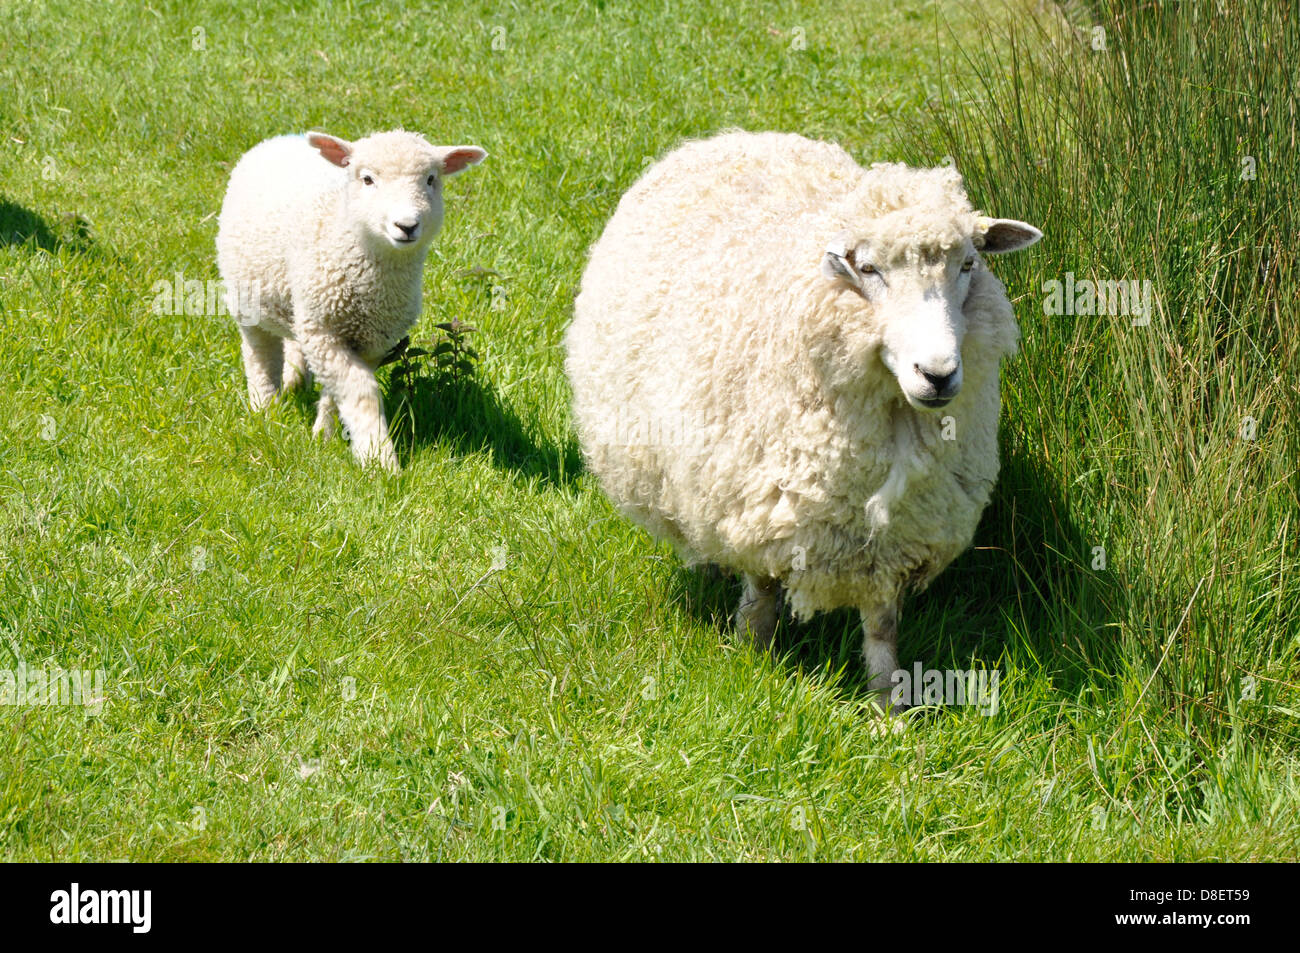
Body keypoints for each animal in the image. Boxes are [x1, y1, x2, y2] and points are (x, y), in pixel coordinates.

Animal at [217, 128, 488, 470]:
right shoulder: (324, 331)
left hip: (298, 300)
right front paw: (379, 459)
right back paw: (265, 409)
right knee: (259, 354)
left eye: (430, 179)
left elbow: (339, 391)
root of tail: (283, 137)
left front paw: (326, 434)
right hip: (248, 297)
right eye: (367, 179)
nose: (407, 226)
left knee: (292, 341)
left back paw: (295, 382)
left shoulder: (373, 340)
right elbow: (362, 391)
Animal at [564, 128, 1040, 707]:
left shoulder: (896, 537)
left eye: (969, 265)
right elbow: (762, 592)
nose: (938, 374)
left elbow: (881, 625)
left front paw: (889, 706)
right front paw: (751, 658)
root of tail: (739, 136)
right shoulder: (756, 502)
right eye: (868, 268)